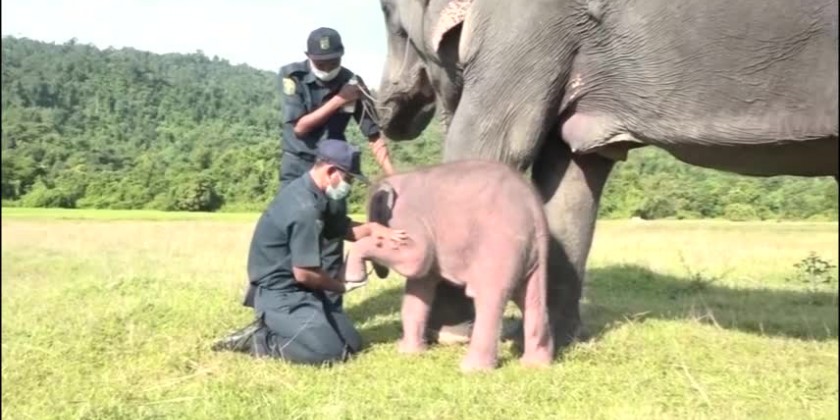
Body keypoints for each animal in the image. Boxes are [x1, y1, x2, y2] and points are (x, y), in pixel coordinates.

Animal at [343, 159, 554, 372]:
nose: (375, 272)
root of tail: (534, 209)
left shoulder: (407, 217)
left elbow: (416, 259)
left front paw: (353, 276)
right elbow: (419, 287)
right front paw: (407, 352)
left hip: (498, 247)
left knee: (489, 298)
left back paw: (472, 369)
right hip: (530, 254)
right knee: (531, 298)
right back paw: (535, 365)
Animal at [374, 0, 839, 348]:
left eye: (384, 11)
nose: (384, 111)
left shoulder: (525, 26)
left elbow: (493, 146)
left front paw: (444, 334)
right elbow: (571, 180)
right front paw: (546, 339)